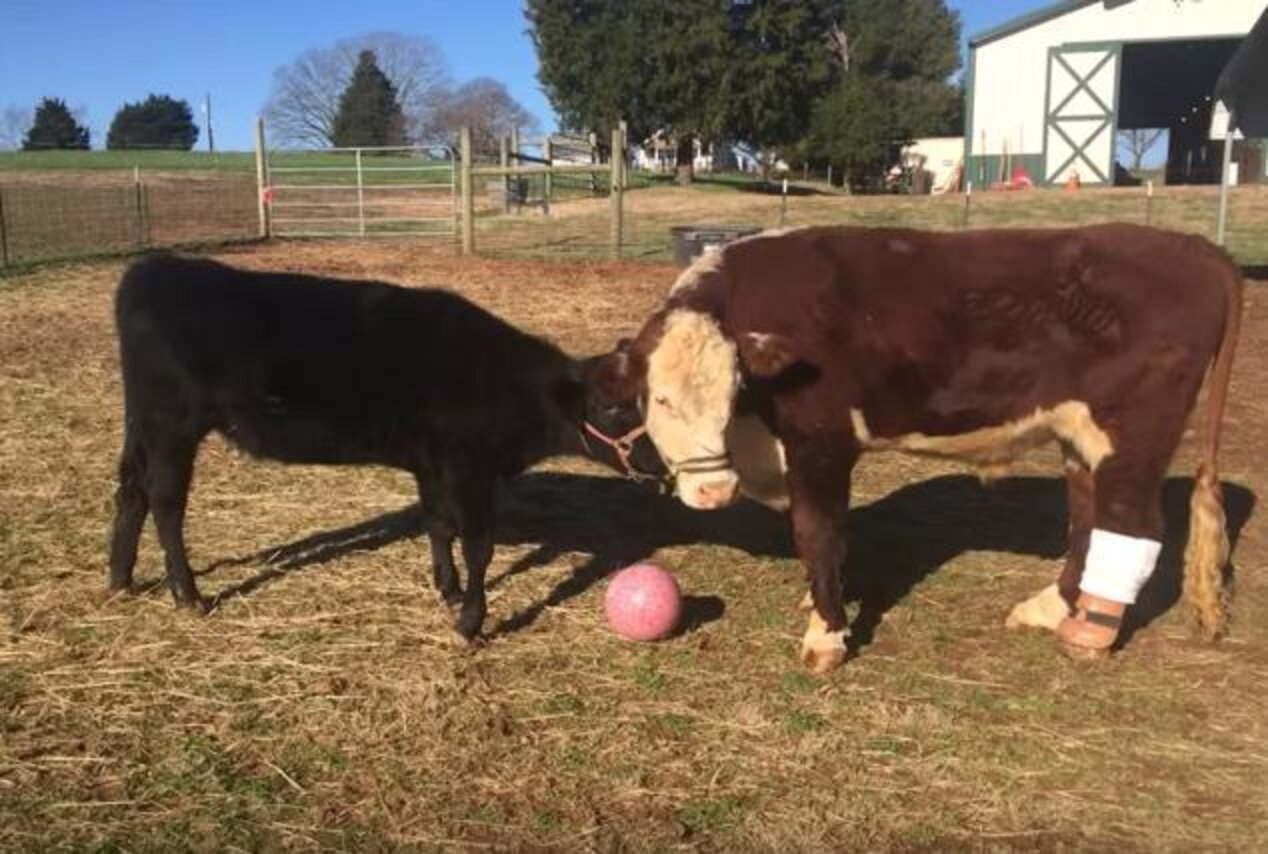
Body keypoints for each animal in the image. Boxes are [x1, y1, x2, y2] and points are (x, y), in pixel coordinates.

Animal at [107, 254, 663, 640]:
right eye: (611, 408)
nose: (660, 463)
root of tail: (154, 268)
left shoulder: (433, 465)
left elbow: (438, 524)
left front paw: (447, 588)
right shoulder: (468, 468)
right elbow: (477, 544)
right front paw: (470, 621)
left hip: (141, 424)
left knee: (131, 492)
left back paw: (120, 579)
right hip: (173, 426)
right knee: (165, 501)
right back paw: (188, 594)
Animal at [591, 224, 1242, 672]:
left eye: (731, 392)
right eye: (660, 399)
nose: (714, 489)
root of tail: (1193, 248)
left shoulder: (823, 441)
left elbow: (818, 532)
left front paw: (826, 635)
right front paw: (818, 603)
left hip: (1134, 433)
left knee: (1133, 524)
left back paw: (1092, 634)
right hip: (1079, 437)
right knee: (1086, 521)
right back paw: (1049, 609)